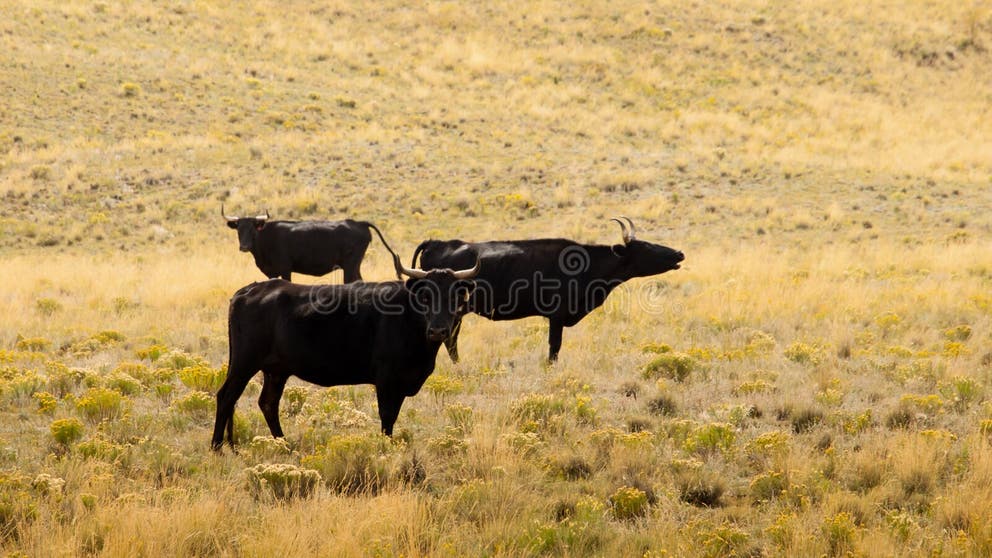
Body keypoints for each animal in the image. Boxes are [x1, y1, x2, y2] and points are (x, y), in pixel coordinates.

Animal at [211, 245, 481, 451]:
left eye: (454, 297)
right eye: (426, 297)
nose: (438, 331)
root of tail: (248, 290)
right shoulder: (386, 380)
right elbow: (387, 416)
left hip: (276, 370)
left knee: (268, 403)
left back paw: (283, 444)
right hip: (244, 363)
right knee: (226, 397)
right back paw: (217, 447)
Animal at [222, 205, 382, 282]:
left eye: (252, 229)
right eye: (239, 230)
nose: (244, 246)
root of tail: (358, 223)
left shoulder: (285, 269)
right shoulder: (271, 273)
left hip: (350, 266)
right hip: (354, 266)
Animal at [410, 218, 684, 363]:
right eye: (646, 247)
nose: (679, 253)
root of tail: (437, 242)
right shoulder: (557, 316)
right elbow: (554, 347)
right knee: (450, 340)